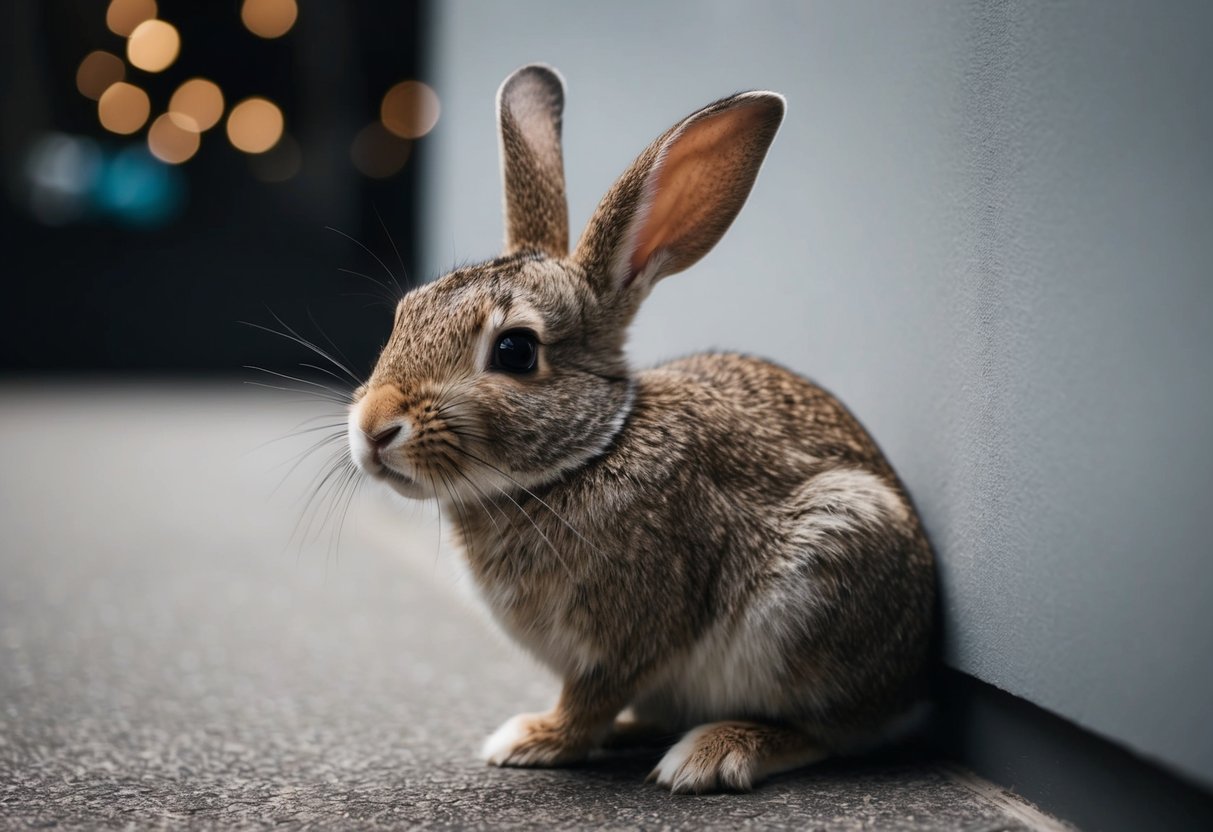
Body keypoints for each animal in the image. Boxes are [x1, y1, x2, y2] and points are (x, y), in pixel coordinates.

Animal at [345, 64, 935, 794]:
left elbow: (589, 697)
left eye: (515, 351)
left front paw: (535, 739)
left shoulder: (627, 635)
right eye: (405, 313)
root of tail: (914, 684)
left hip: (820, 588)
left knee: (830, 733)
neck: (585, 456)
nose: (373, 427)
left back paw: (713, 753)